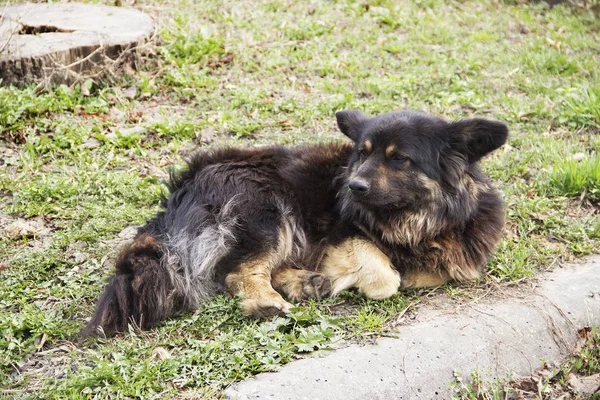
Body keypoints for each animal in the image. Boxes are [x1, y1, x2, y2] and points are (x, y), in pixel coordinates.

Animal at [83, 108, 506, 334]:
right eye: (362, 153)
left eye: (399, 158)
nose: (352, 186)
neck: (419, 218)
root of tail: (182, 187)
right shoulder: (340, 234)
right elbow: (388, 279)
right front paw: (367, 274)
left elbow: (433, 271)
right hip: (267, 207)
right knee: (238, 272)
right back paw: (271, 302)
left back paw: (303, 283)